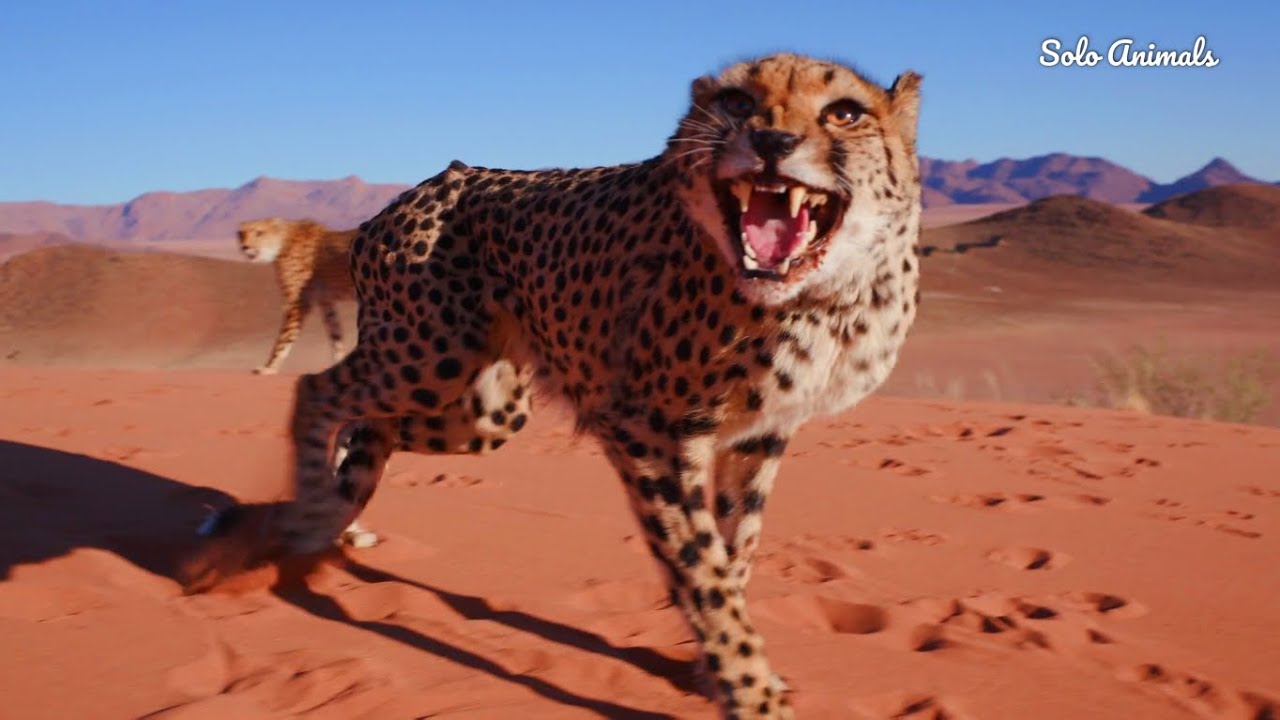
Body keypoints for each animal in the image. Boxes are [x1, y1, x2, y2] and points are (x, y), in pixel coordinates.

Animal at [237, 217, 358, 375]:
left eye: (259, 232)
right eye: (241, 234)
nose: (245, 247)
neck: (282, 242)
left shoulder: (297, 303)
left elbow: (283, 339)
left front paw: (269, 367)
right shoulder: (325, 301)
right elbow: (335, 335)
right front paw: (340, 364)